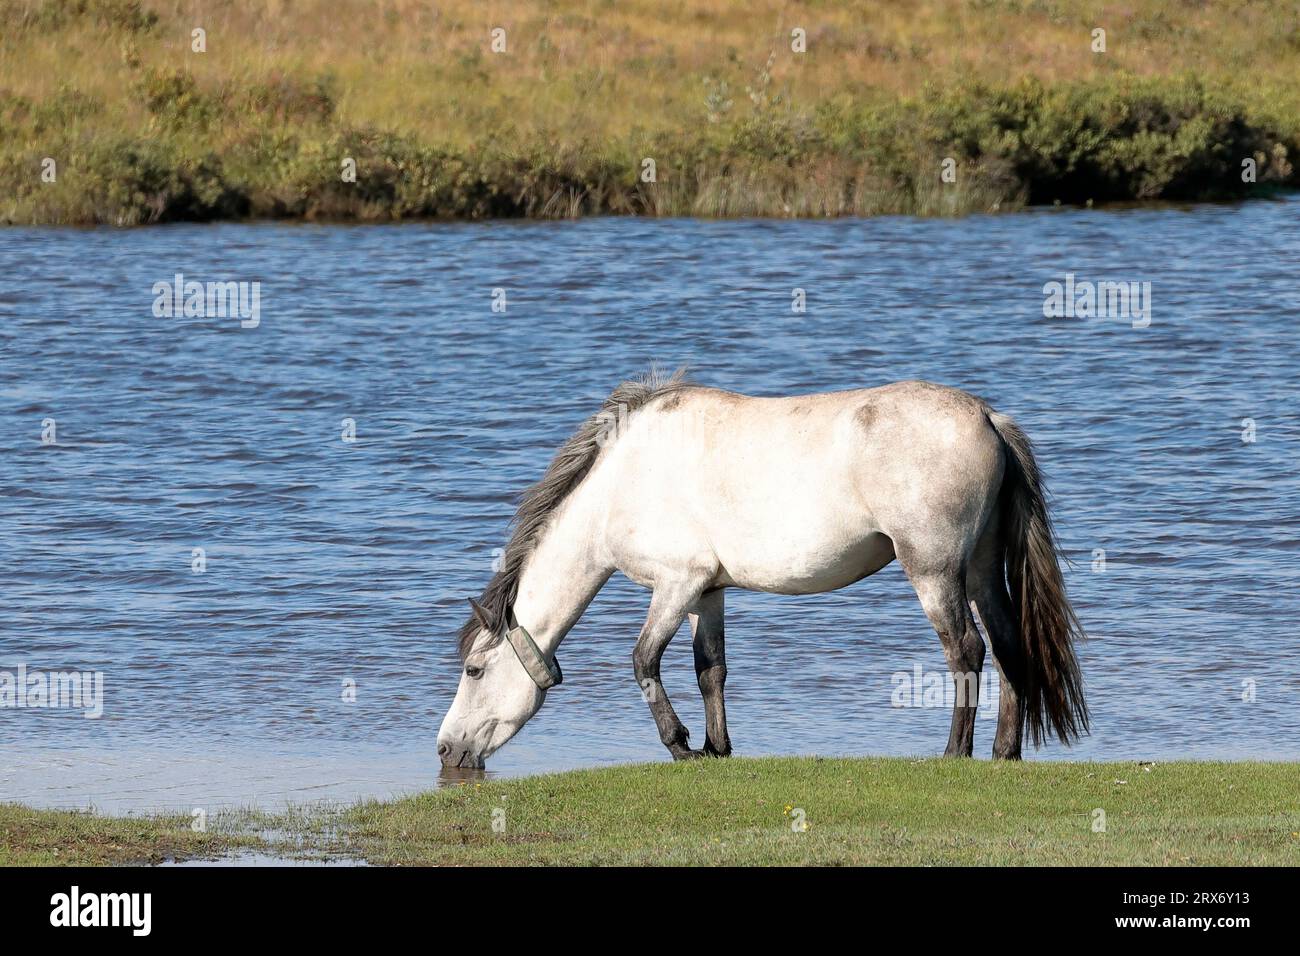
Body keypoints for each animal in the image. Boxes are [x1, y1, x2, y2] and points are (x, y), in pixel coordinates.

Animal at [437, 371, 1087, 769]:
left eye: (473, 670)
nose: (446, 750)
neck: (621, 482)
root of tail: (987, 417)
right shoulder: (706, 591)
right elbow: (710, 670)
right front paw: (716, 748)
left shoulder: (674, 584)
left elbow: (643, 660)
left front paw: (679, 746)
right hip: (979, 571)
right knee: (1006, 647)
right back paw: (1004, 752)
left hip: (934, 572)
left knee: (966, 651)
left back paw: (955, 753)